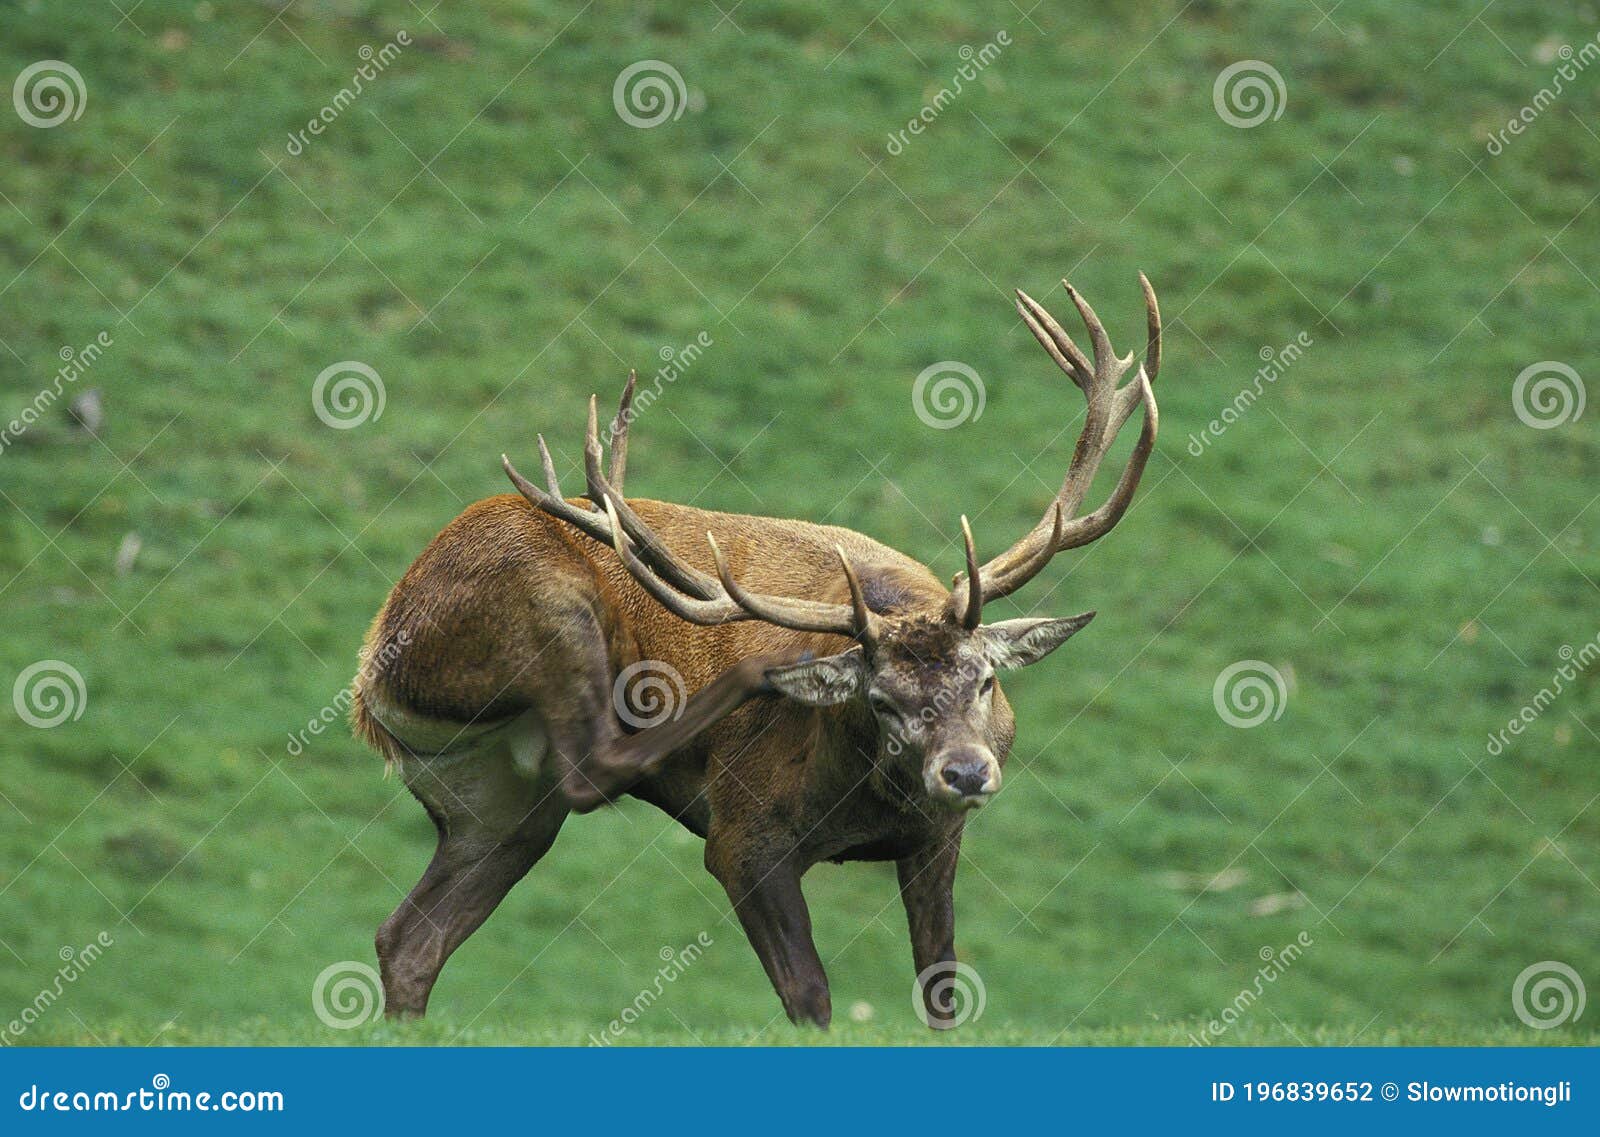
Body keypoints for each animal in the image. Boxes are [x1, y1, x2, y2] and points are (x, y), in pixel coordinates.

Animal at [351, 275, 1162, 1029]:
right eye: (880, 699)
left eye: (986, 680)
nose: (966, 771)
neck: (865, 799)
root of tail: (369, 680)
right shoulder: (745, 839)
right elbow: (810, 995)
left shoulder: (938, 837)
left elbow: (943, 993)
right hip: (539, 602)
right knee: (592, 766)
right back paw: (752, 675)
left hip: (498, 800)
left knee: (409, 937)